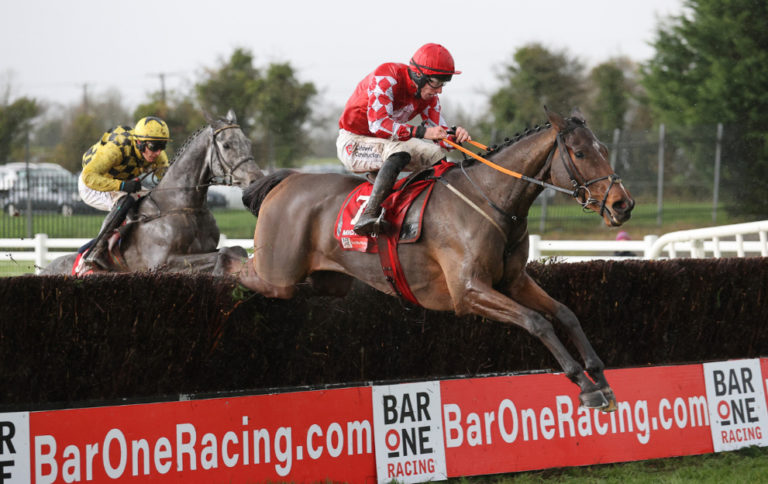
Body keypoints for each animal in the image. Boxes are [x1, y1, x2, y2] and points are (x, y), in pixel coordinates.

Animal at [41, 109, 262, 275]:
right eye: (227, 145)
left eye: (249, 143)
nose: (256, 178)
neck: (183, 206)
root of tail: (44, 269)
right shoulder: (162, 263)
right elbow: (223, 253)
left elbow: (234, 250)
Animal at [230, 107, 634, 410]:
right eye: (580, 153)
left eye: (604, 149)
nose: (623, 205)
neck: (491, 198)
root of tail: (285, 179)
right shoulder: (468, 291)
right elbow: (538, 322)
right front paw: (585, 385)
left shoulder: (513, 281)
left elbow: (564, 313)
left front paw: (600, 376)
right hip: (276, 274)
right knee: (236, 267)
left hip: (327, 282)